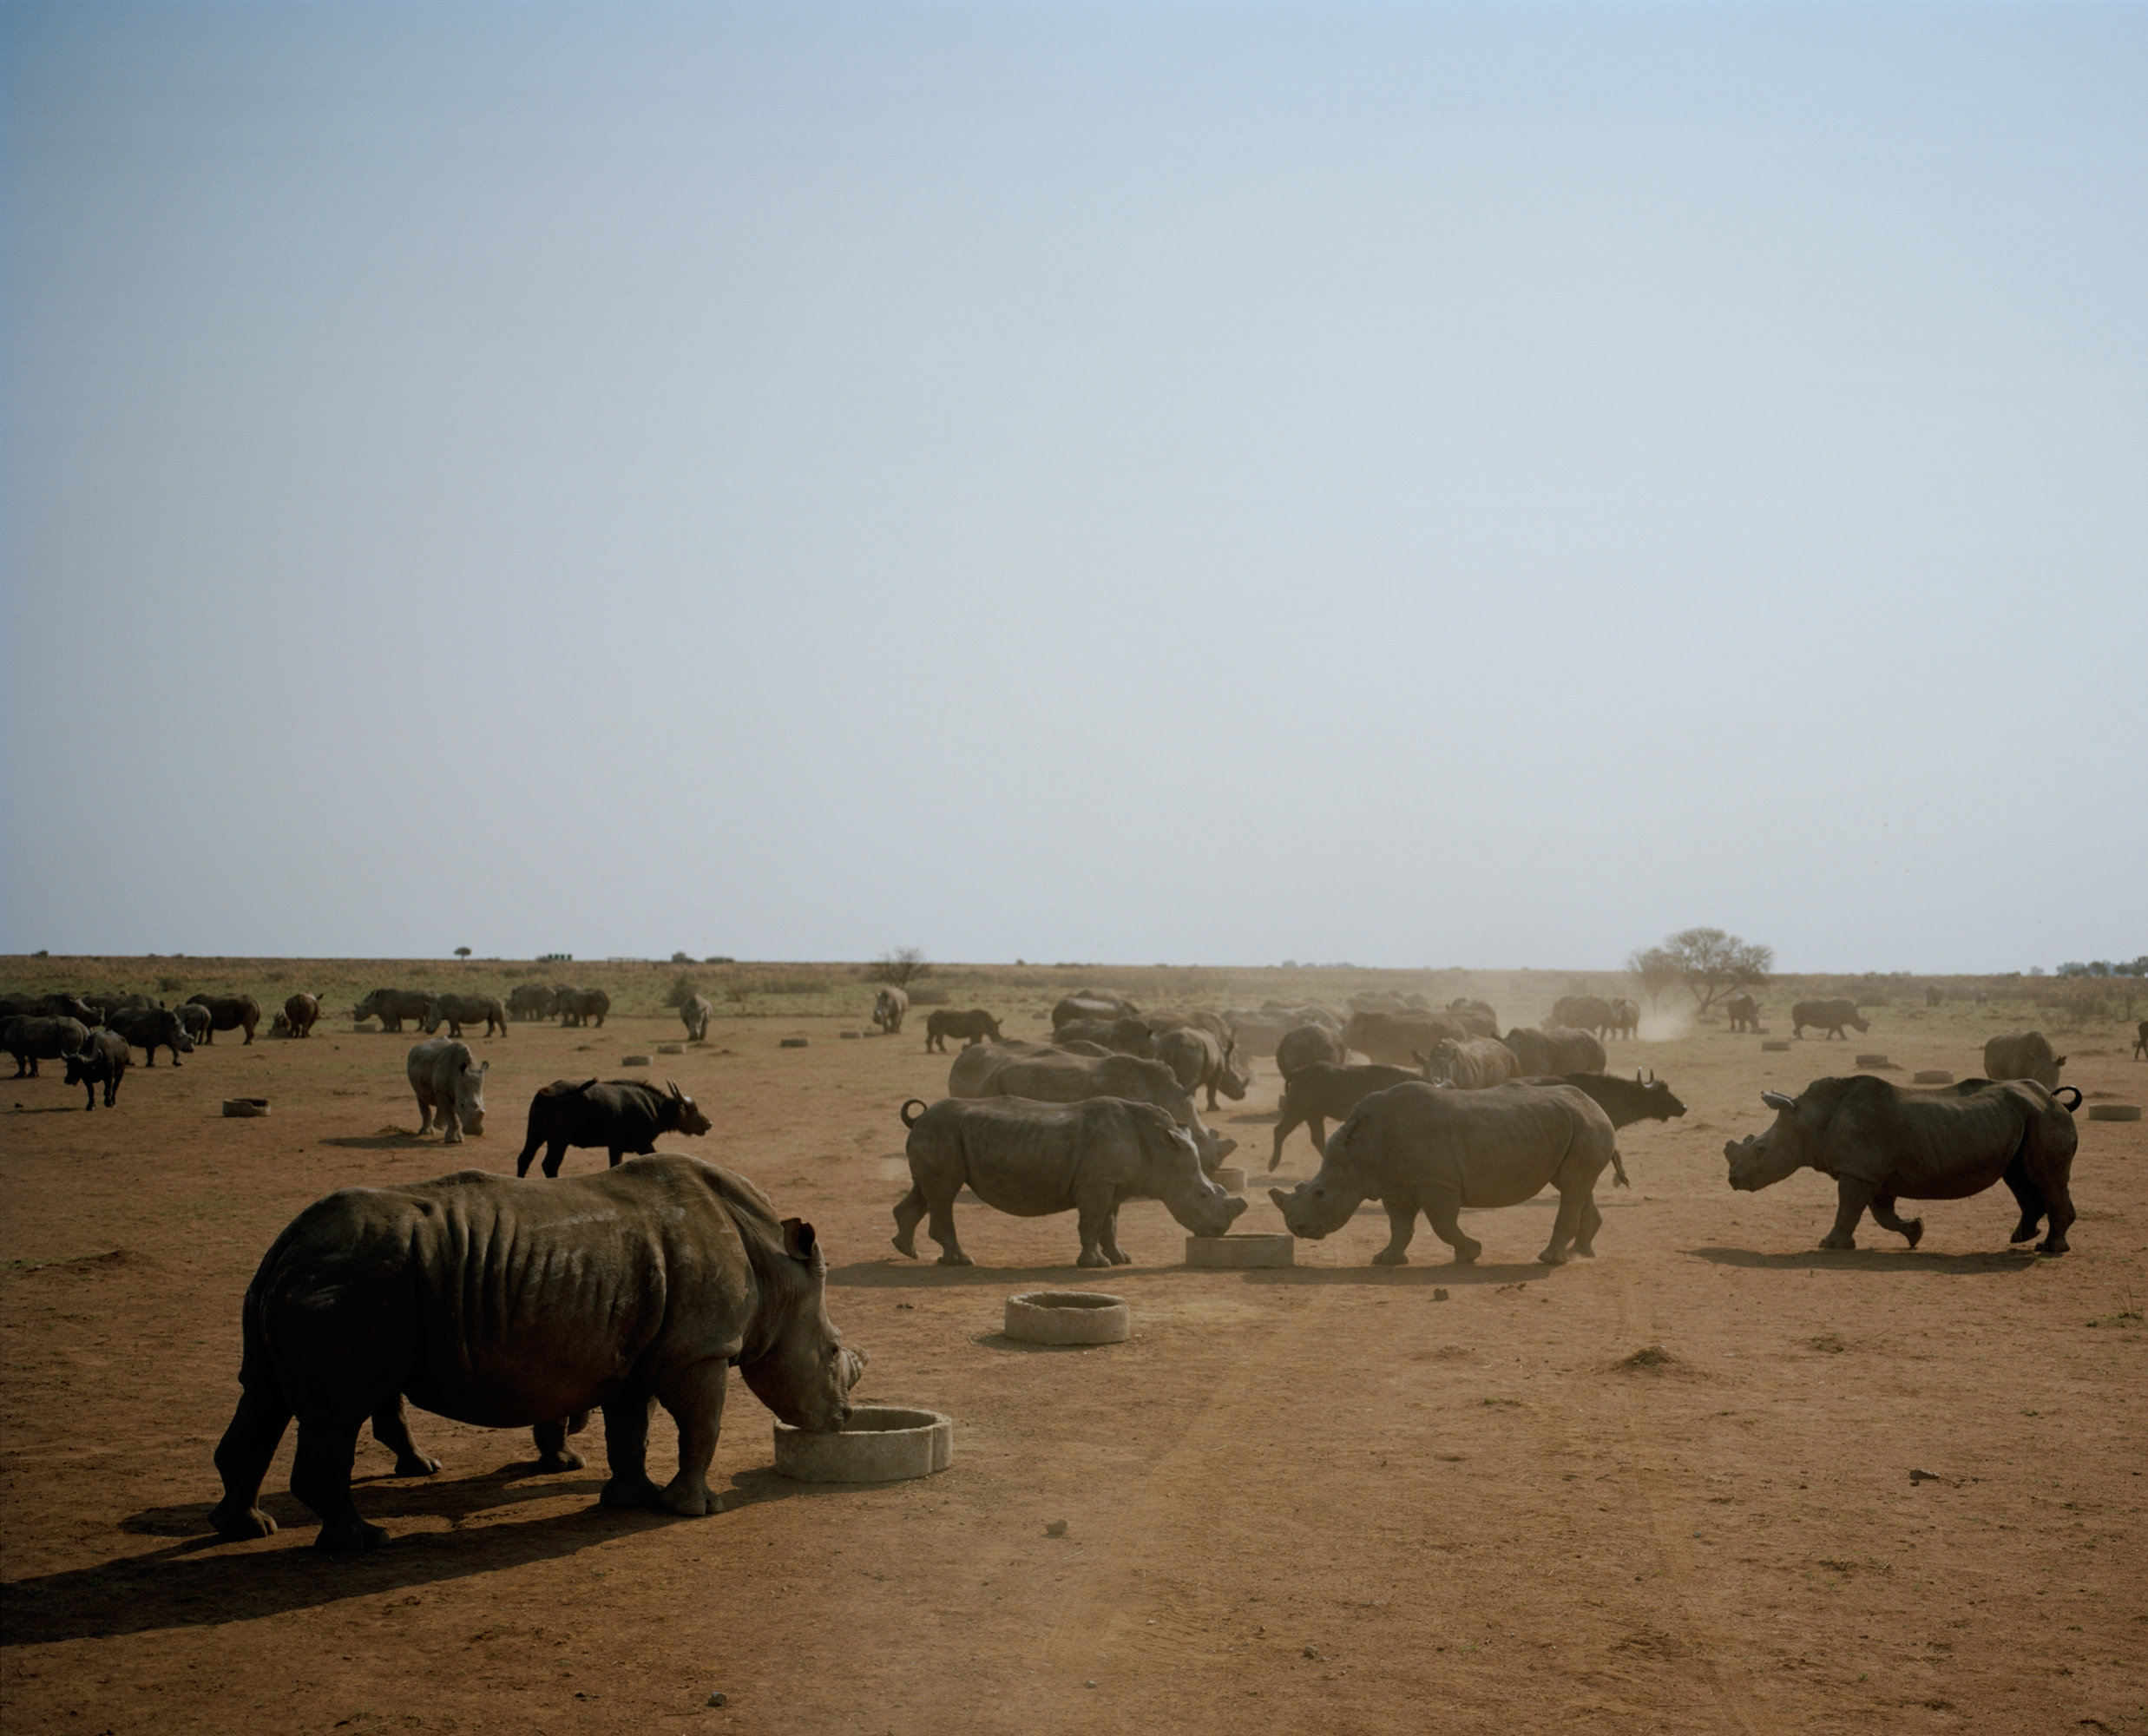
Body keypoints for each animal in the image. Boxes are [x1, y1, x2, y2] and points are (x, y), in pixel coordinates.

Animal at [208, 1157, 866, 1552]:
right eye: (833, 1351)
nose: (843, 1420)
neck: (773, 1265)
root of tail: (287, 1241)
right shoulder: (699, 1349)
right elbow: (701, 1425)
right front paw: (697, 1509)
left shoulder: (640, 1352)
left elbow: (631, 1429)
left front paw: (631, 1501)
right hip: (353, 1282)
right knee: (334, 1415)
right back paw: (364, 1541)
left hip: (313, 1278)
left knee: (263, 1398)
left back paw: (246, 1528)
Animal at [894, 1096, 1246, 1267]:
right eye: (1203, 1194)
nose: (1220, 1231)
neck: (1161, 1149)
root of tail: (920, 1118)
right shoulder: (1097, 1183)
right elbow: (1091, 1222)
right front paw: (1095, 1265)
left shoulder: (1112, 1184)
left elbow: (1109, 1224)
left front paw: (1121, 1259)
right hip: (944, 1130)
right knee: (944, 1192)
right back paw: (961, 1261)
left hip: (940, 1133)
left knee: (927, 1190)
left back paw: (907, 1250)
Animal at [1270, 1080, 1620, 1266]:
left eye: (1320, 1194)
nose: (1297, 1228)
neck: (1360, 1151)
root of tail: (1598, 1106)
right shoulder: (1394, 1185)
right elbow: (1400, 1227)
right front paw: (1385, 1259)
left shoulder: (1437, 1183)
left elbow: (1442, 1224)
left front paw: (1471, 1253)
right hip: (1575, 1126)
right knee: (1577, 1186)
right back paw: (1580, 1253)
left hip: (1588, 1126)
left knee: (1573, 1187)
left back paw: (1550, 1259)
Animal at [1723, 1074, 2081, 1253]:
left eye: (1760, 1150)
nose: (1733, 1180)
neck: (1809, 1117)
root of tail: (2055, 1100)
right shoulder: (1871, 1173)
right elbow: (1881, 1214)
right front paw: (1915, 1233)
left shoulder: (1857, 1170)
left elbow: (1849, 1208)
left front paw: (1830, 1245)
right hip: (2026, 1120)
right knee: (2021, 1177)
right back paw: (2022, 1238)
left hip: (2044, 1119)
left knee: (2045, 1179)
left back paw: (2050, 1249)